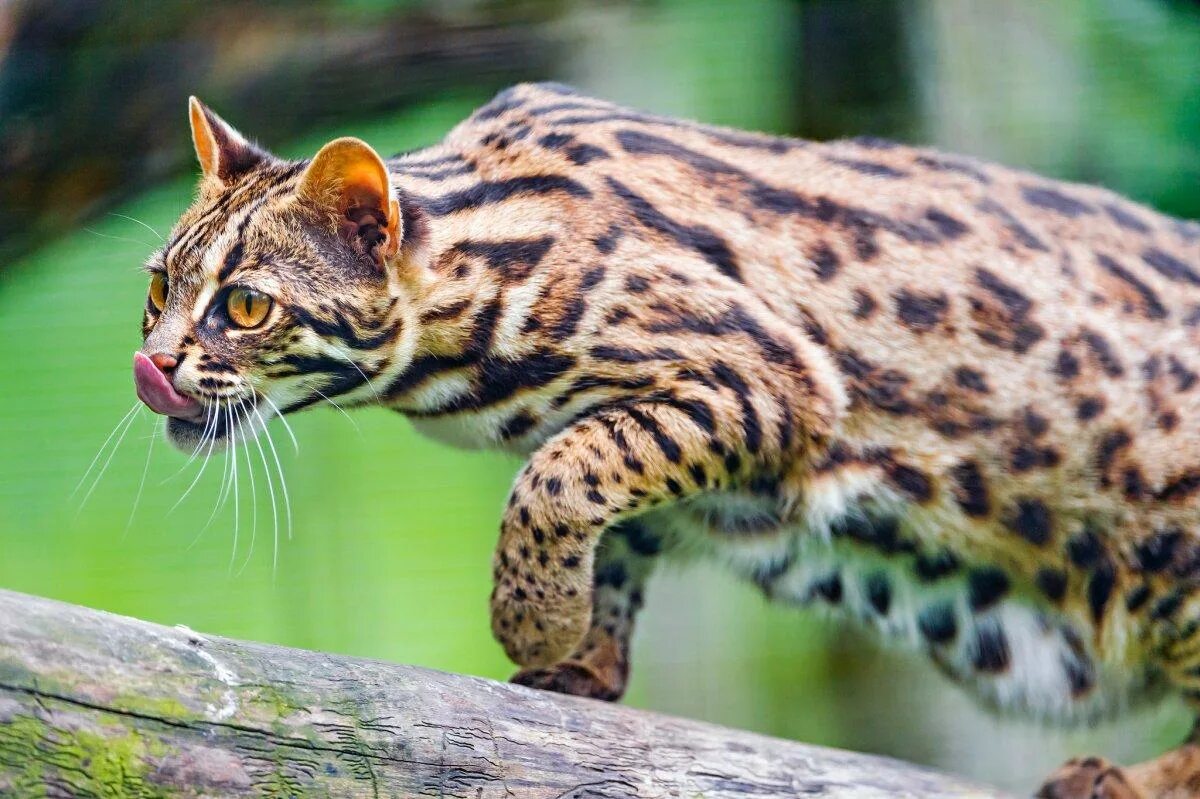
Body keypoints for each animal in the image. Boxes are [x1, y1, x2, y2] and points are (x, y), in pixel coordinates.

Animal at [133, 82, 1200, 798]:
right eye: (157, 286)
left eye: (246, 305)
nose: (151, 363)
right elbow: (608, 502)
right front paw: (582, 652)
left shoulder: (771, 379)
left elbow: (560, 471)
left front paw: (534, 621)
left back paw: (1126, 775)